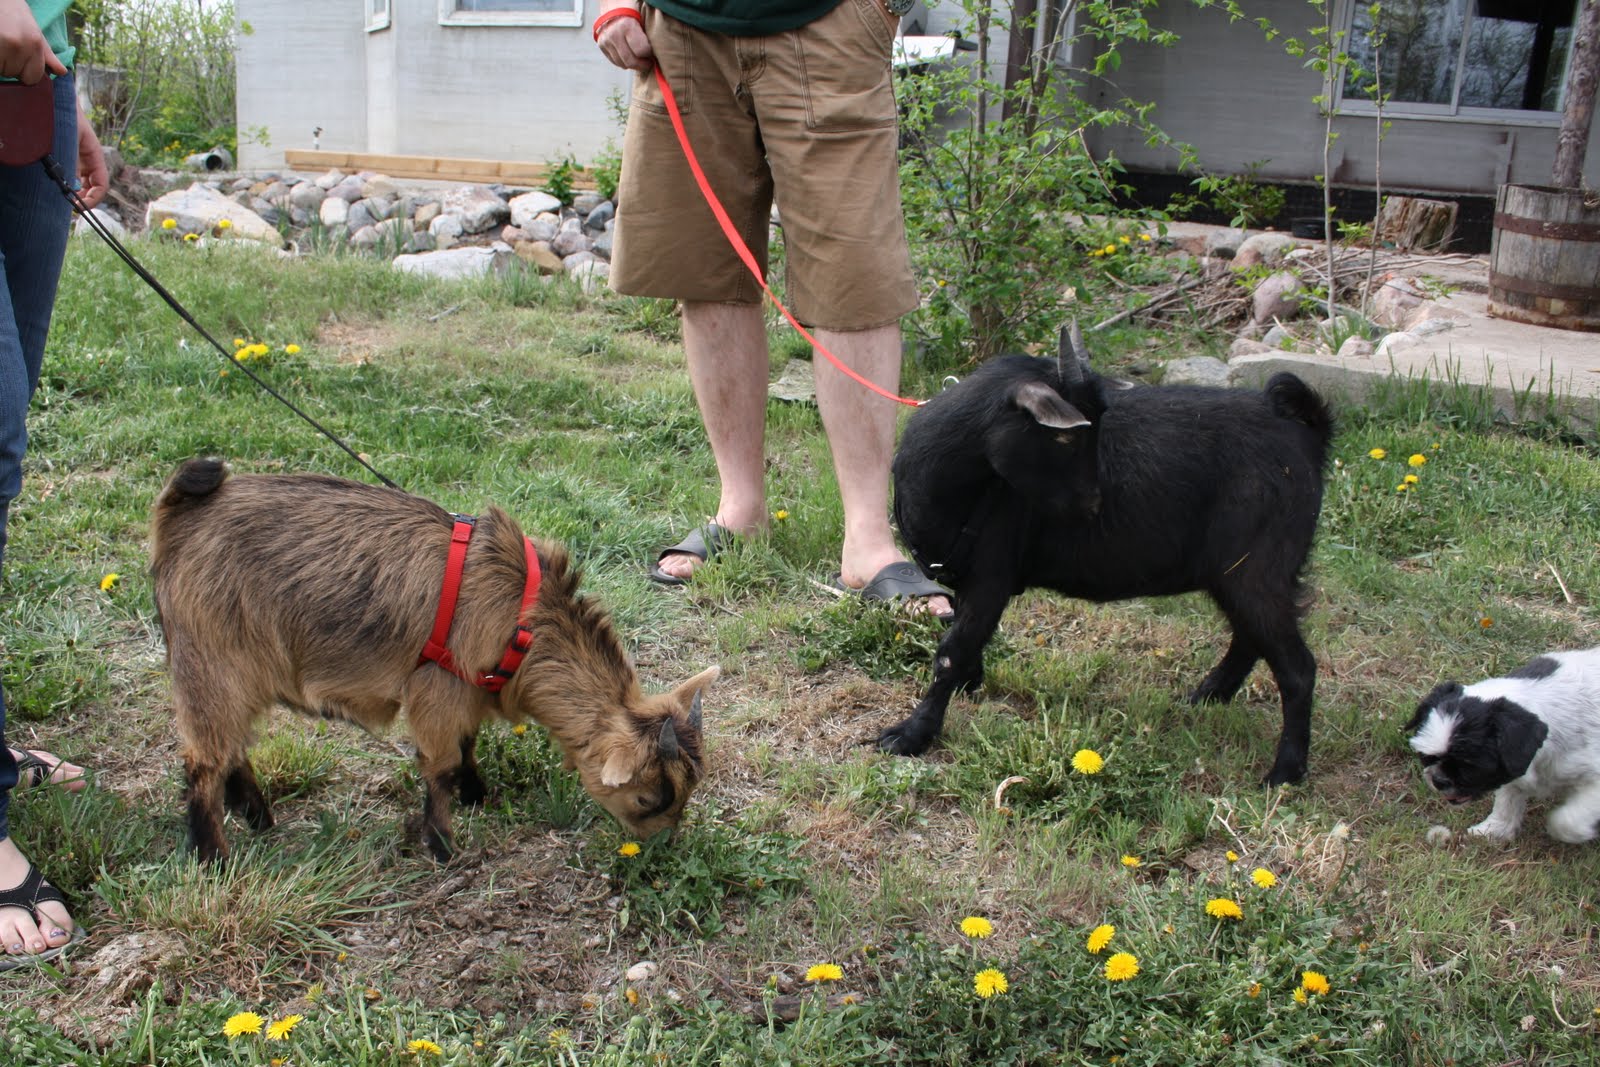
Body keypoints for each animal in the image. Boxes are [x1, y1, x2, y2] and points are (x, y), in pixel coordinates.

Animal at [150, 458, 719, 862]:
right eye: (647, 800)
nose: (663, 847)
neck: (525, 617)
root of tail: (182, 515)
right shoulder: (438, 690)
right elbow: (439, 767)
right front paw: (444, 846)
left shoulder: (469, 686)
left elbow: (467, 744)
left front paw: (476, 793)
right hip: (213, 659)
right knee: (203, 761)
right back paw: (213, 857)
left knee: (232, 746)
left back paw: (257, 816)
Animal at [883, 326, 1334, 786]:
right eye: (1067, 436)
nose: (1094, 503)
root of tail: (1307, 431)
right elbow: (964, 641)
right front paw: (968, 686)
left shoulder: (991, 577)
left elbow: (950, 654)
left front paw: (911, 734)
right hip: (1237, 573)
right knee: (1248, 637)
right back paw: (1209, 695)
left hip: (1257, 567)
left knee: (1296, 668)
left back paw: (1285, 771)